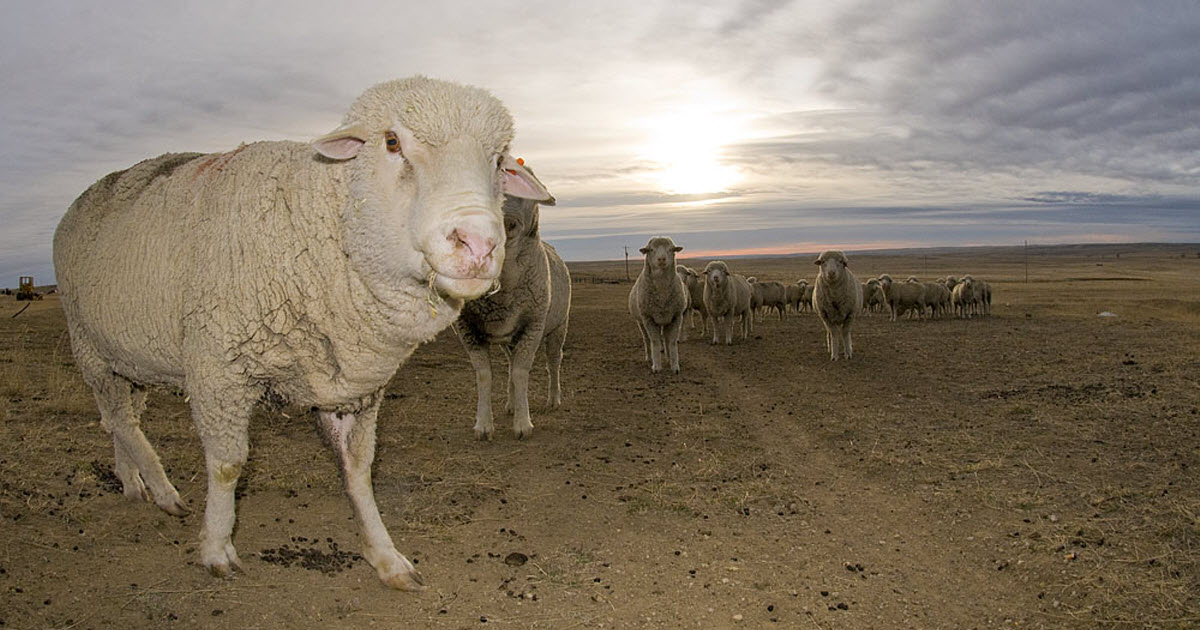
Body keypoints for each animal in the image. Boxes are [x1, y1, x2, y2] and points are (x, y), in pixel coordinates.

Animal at [52, 77, 553, 591]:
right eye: (392, 142)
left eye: (499, 160)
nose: (478, 245)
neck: (320, 229)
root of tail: (87, 193)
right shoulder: (218, 370)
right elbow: (228, 466)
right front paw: (217, 547)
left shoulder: (354, 388)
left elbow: (359, 471)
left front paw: (385, 557)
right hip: (87, 343)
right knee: (123, 420)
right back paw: (162, 488)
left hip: (126, 358)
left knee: (119, 417)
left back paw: (132, 481)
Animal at [456, 170, 570, 441]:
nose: (503, 214)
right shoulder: (468, 330)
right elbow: (485, 375)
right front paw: (483, 425)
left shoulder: (533, 326)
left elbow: (521, 372)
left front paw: (523, 425)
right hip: (509, 338)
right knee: (509, 364)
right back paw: (510, 404)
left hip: (558, 326)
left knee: (553, 361)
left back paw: (553, 399)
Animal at [629, 237, 689, 373]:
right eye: (651, 250)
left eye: (671, 249)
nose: (661, 259)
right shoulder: (648, 318)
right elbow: (655, 341)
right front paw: (656, 366)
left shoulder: (676, 316)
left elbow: (672, 342)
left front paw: (674, 365)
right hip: (641, 321)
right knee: (646, 339)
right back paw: (649, 357)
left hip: (665, 319)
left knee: (665, 338)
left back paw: (667, 356)